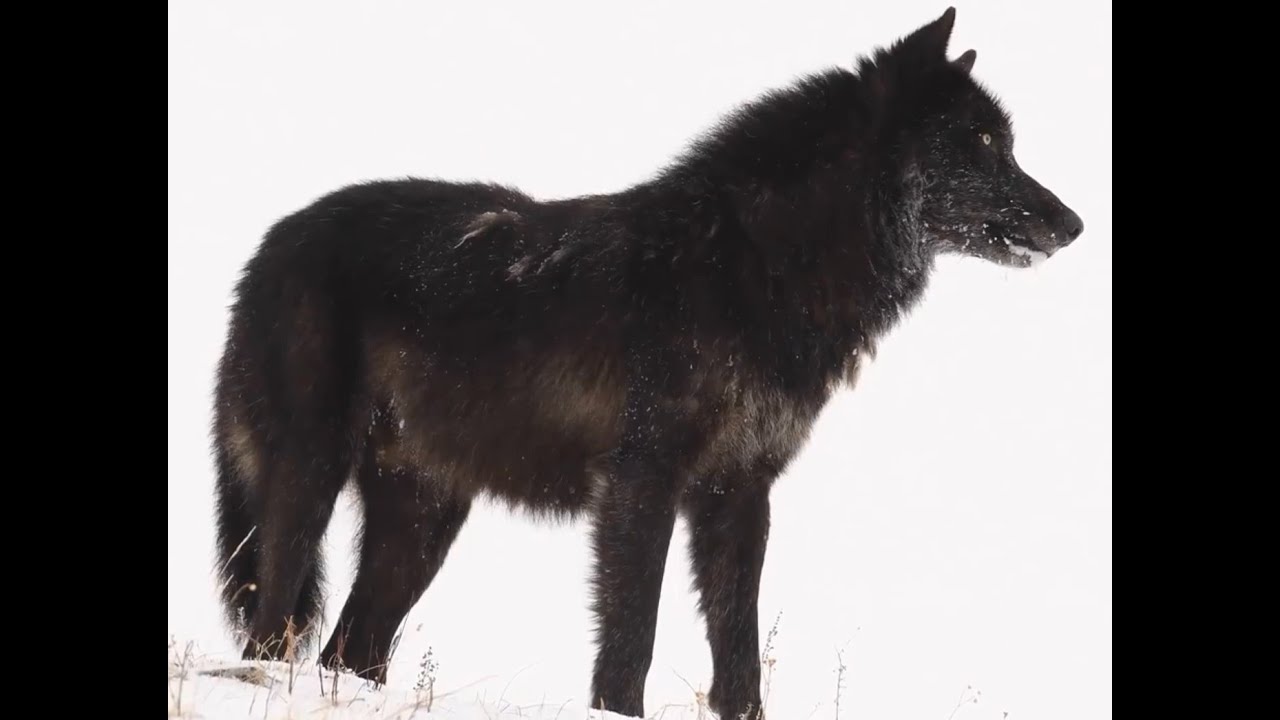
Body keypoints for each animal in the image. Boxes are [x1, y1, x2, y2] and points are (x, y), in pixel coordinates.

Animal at [210, 7, 1082, 719]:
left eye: (1006, 144)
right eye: (983, 145)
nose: (1073, 224)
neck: (755, 265)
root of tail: (274, 239)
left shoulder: (740, 491)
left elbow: (737, 648)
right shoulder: (643, 481)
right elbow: (633, 636)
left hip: (421, 522)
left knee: (348, 651)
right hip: (311, 479)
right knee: (275, 622)